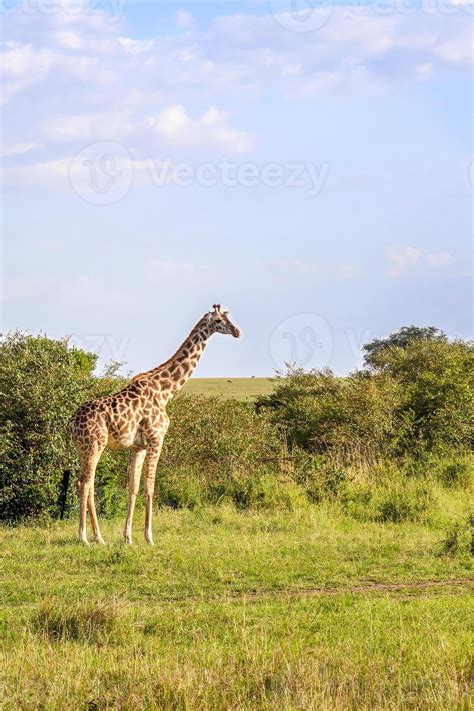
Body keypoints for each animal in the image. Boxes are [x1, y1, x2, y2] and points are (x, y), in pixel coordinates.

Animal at [69, 304, 241, 545]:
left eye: (227, 317)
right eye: (217, 321)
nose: (237, 332)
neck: (165, 391)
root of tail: (71, 421)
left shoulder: (138, 446)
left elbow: (133, 487)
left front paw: (128, 537)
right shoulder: (156, 439)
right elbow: (150, 486)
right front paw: (149, 537)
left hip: (83, 448)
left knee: (87, 483)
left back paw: (99, 537)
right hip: (94, 445)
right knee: (84, 483)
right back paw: (84, 537)